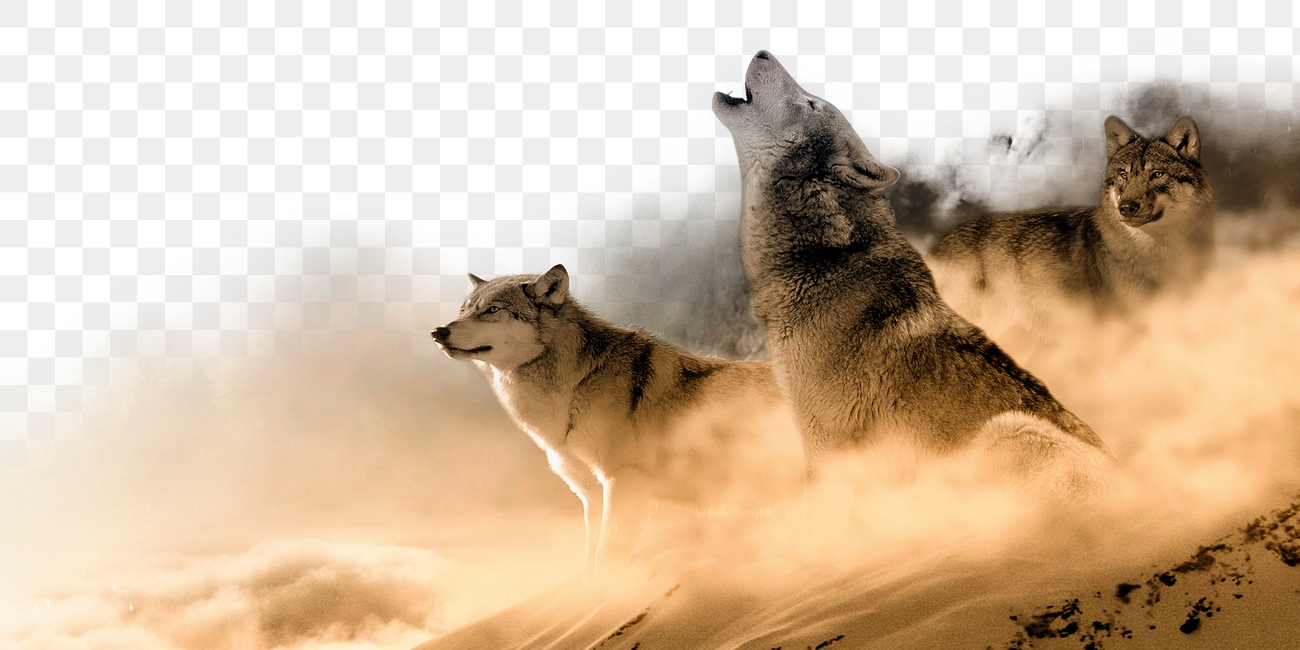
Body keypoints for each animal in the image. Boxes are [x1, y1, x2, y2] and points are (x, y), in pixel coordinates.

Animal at [432, 264, 803, 576]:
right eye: (464, 310)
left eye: (492, 310)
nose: (438, 331)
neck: (573, 388)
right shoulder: (591, 495)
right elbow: (589, 560)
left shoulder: (622, 483)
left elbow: (606, 557)